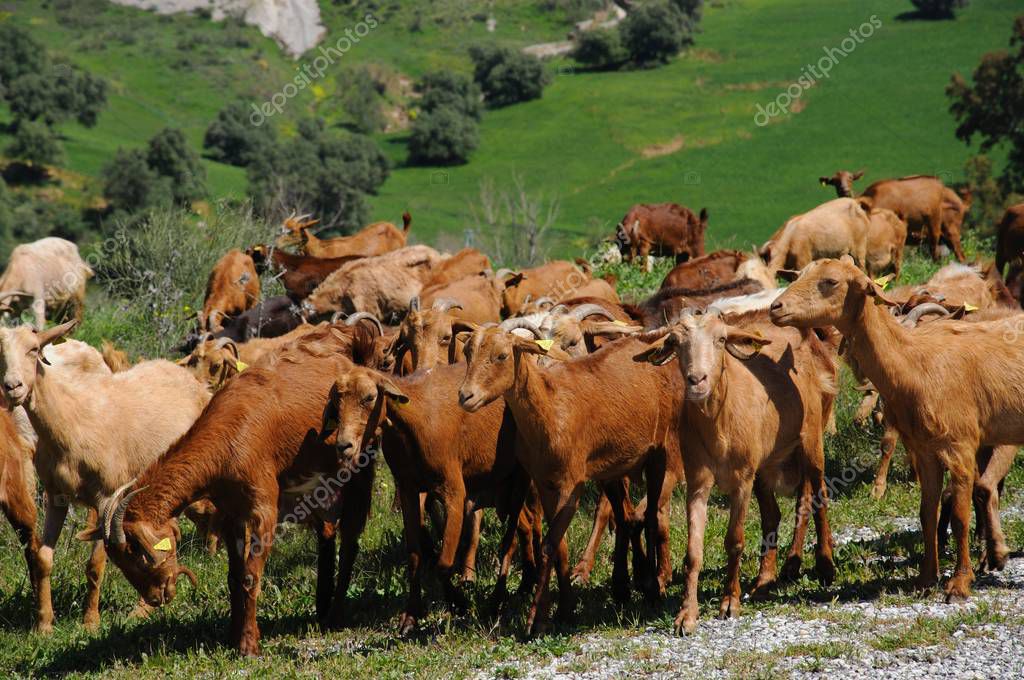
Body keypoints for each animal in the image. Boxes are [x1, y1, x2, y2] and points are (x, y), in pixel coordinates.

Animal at [769, 256, 1024, 601]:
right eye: (799, 275)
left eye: (831, 282)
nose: (775, 307)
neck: (915, 362)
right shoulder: (926, 450)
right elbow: (927, 513)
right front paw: (926, 579)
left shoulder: (961, 445)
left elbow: (959, 515)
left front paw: (959, 583)